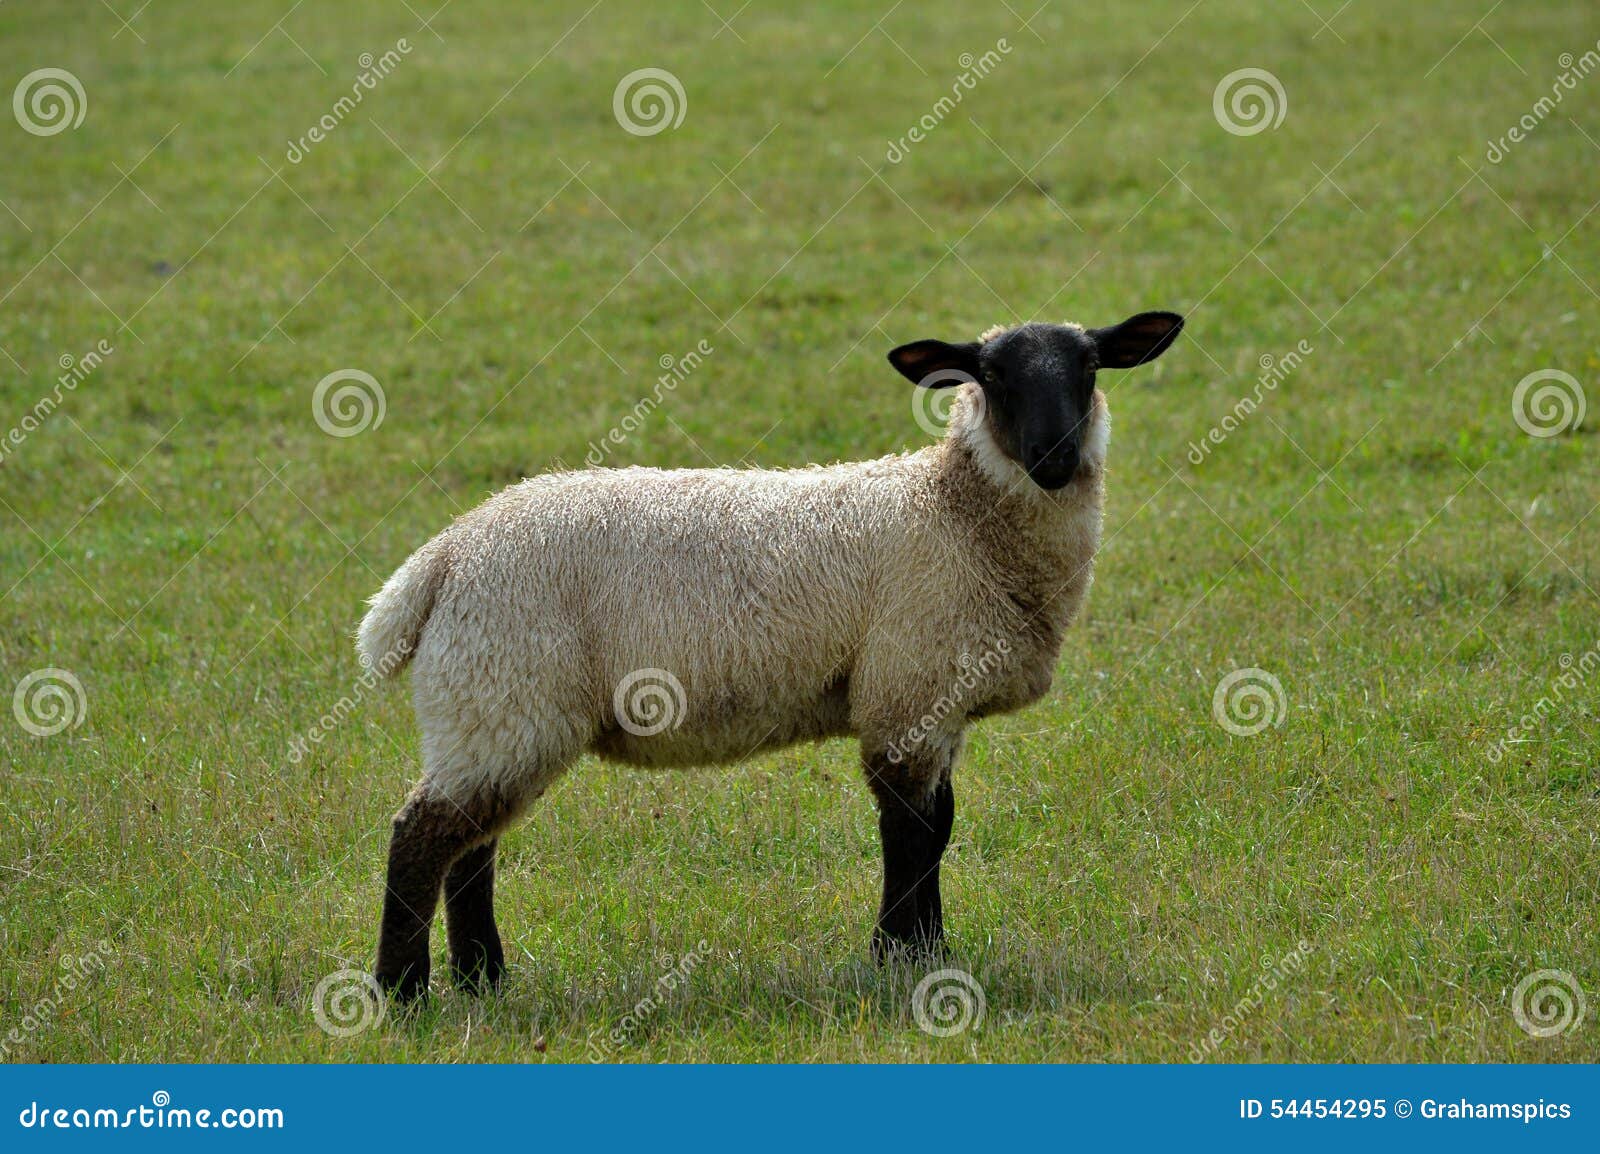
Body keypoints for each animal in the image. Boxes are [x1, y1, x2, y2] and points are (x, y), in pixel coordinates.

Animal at [359, 310, 1185, 999]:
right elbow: (910, 836)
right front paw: (901, 960)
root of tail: (440, 562)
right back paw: (405, 994)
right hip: (502, 691)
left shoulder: (932, 703)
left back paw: (482, 982)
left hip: (491, 709)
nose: (1055, 456)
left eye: (1089, 367)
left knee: (471, 851)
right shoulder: (905, 691)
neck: (953, 512)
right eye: (993, 374)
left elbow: (940, 827)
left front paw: (928, 951)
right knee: (421, 838)